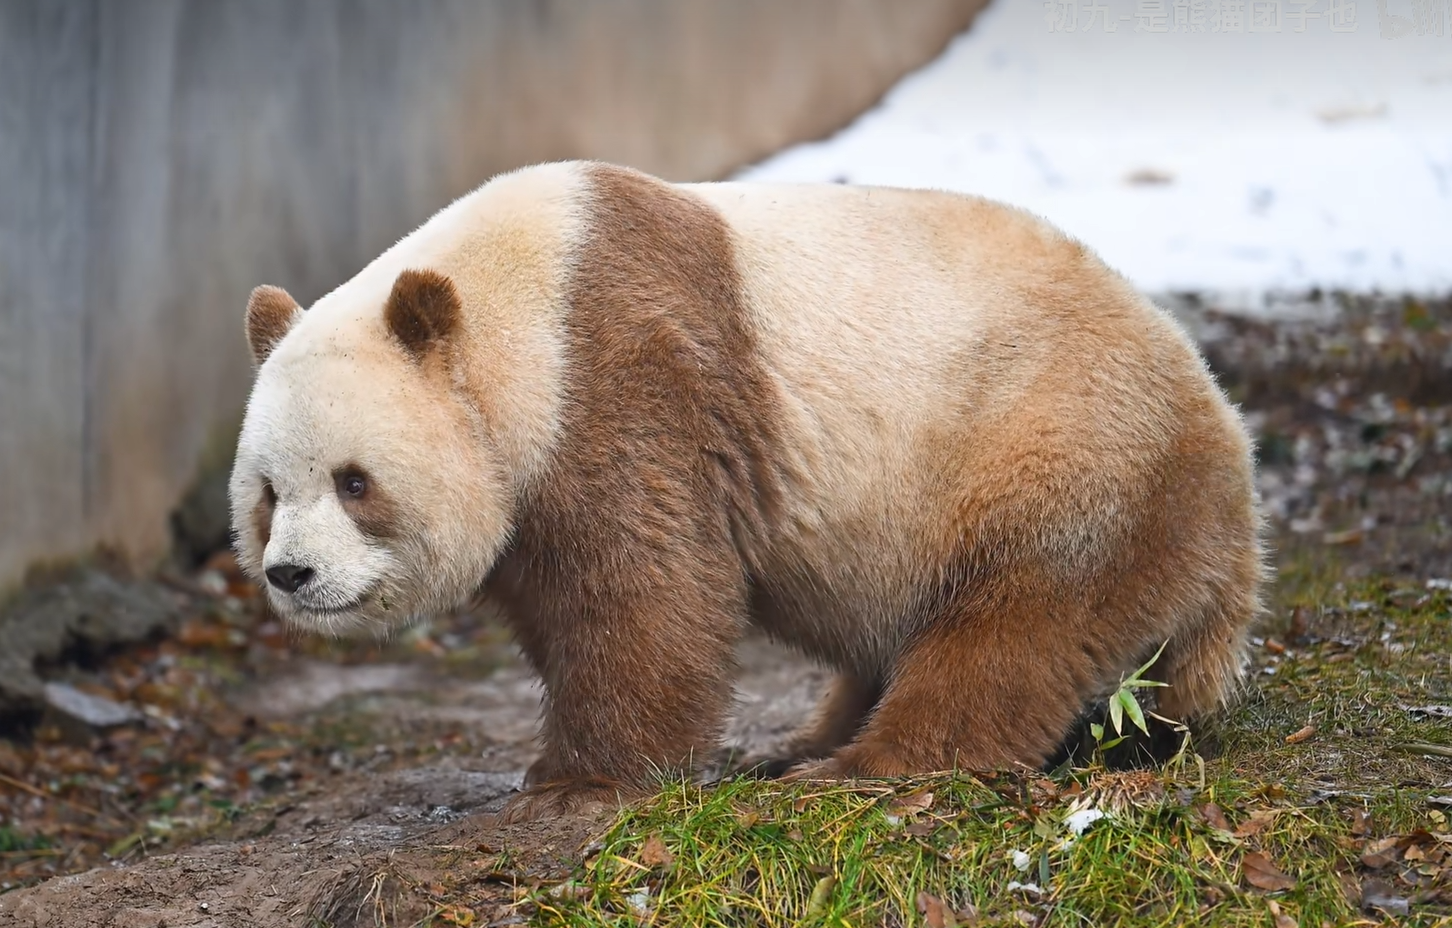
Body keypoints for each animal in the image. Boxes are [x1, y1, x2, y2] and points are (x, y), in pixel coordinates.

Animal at [229, 160, 1267, 824]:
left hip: (1058, 443)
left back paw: (859, 769)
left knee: (1013, 626)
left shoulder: (616, 371)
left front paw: (580, 782)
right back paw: (805, 744)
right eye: (269, 494)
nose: (292, 575)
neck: (514, 302)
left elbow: (646, 587)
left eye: (355, 482)